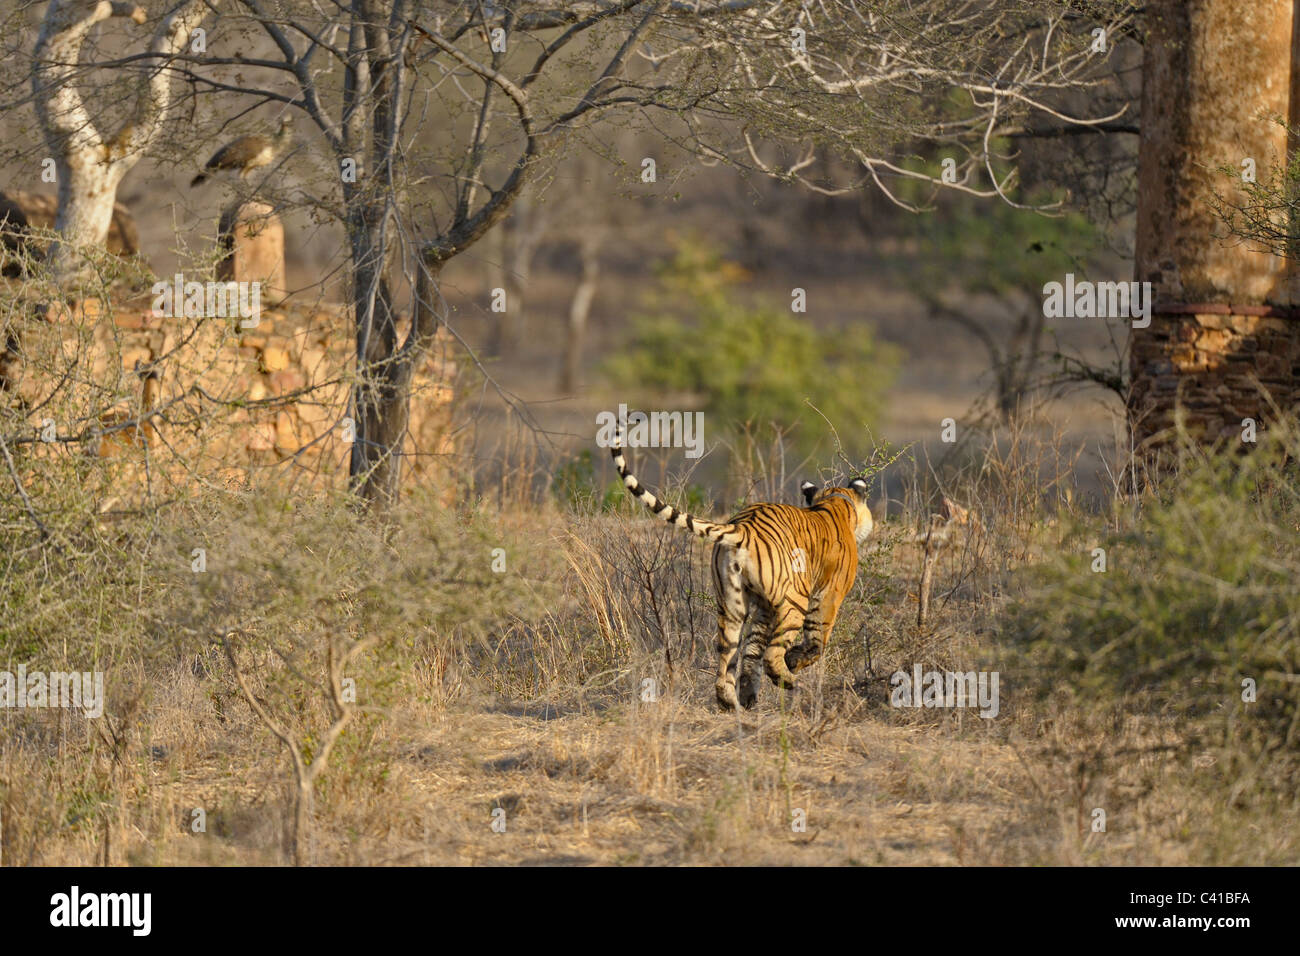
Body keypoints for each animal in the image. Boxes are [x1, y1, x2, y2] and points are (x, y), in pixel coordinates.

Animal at [609, 430, 873, 710]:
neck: (835, 502)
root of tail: (743, 527)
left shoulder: (764, 607)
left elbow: (752, 650)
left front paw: (748, 691)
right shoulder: (827, 595)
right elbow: (817, 640)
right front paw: (795, 660)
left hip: (731, 606)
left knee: (727, 657)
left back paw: (730, 702)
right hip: (795, 600)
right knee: (772, 654)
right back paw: (789, 680)